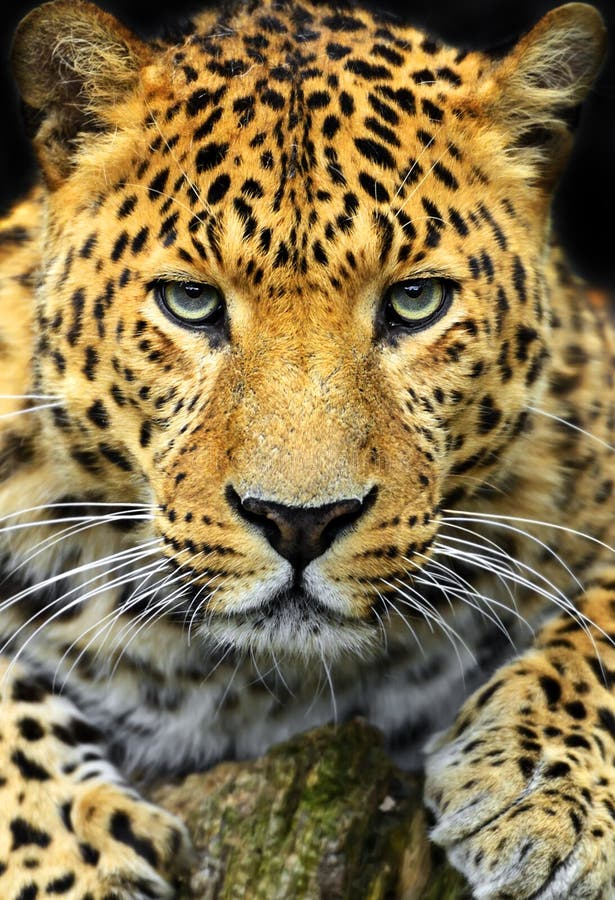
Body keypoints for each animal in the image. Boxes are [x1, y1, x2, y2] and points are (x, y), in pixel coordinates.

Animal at [0, 0, 613, 895]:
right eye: (189, 302)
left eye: (415, 300)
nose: (299, 523)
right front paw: (75, 856)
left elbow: (599, 623)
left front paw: (540, 792)